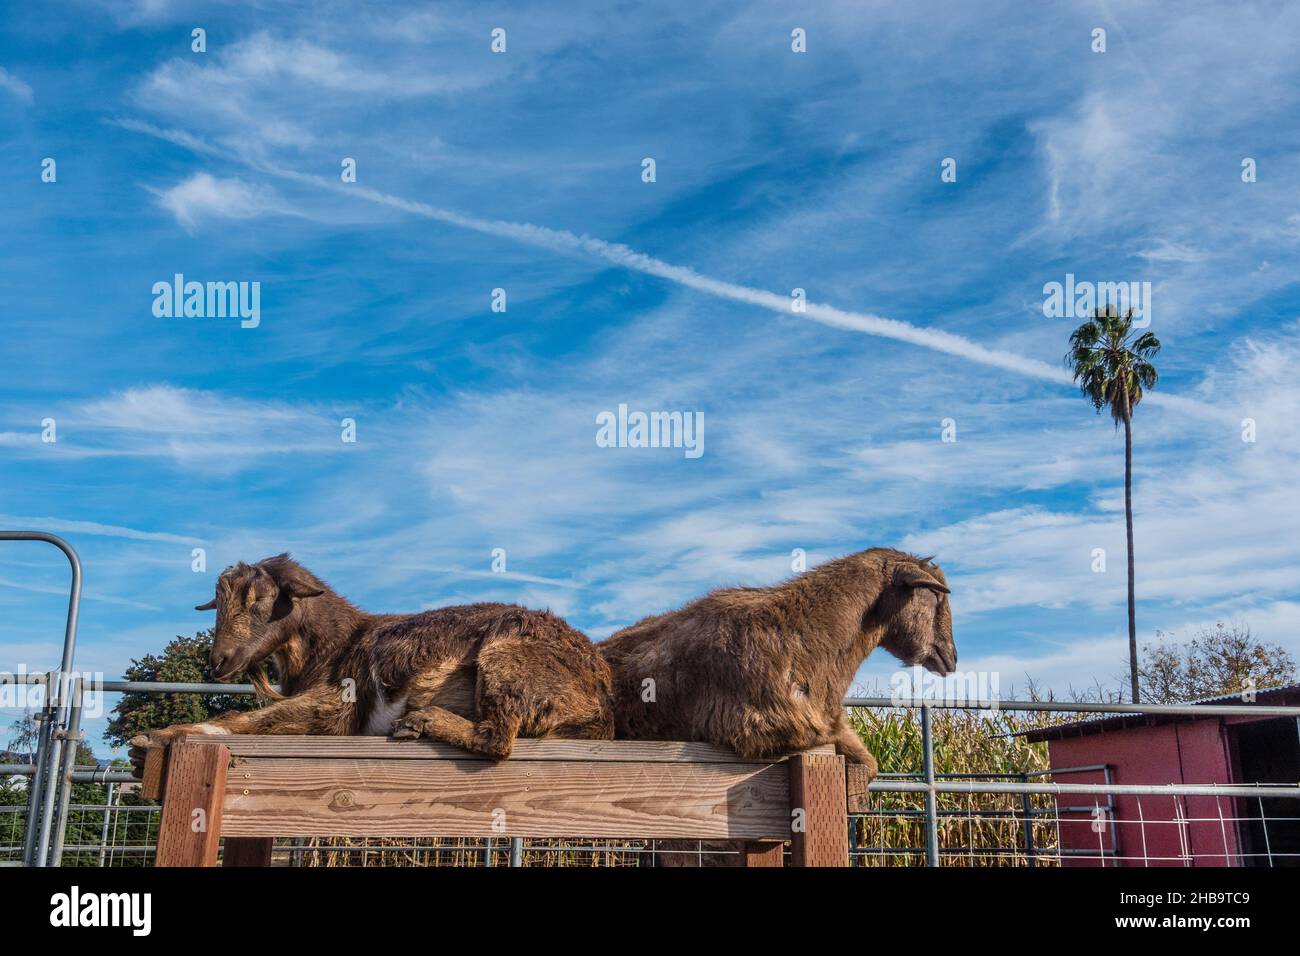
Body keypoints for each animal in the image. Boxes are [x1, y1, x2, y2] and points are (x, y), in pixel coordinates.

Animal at [128, 554, 614, 771]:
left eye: (260, 600)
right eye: (218, 606)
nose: (219, 661)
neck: (336, 644)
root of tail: (600, 705)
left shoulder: (339, 705)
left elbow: (242, 718)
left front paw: (159, 736)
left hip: (505, 657)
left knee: (498, 740)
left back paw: (423, 721)